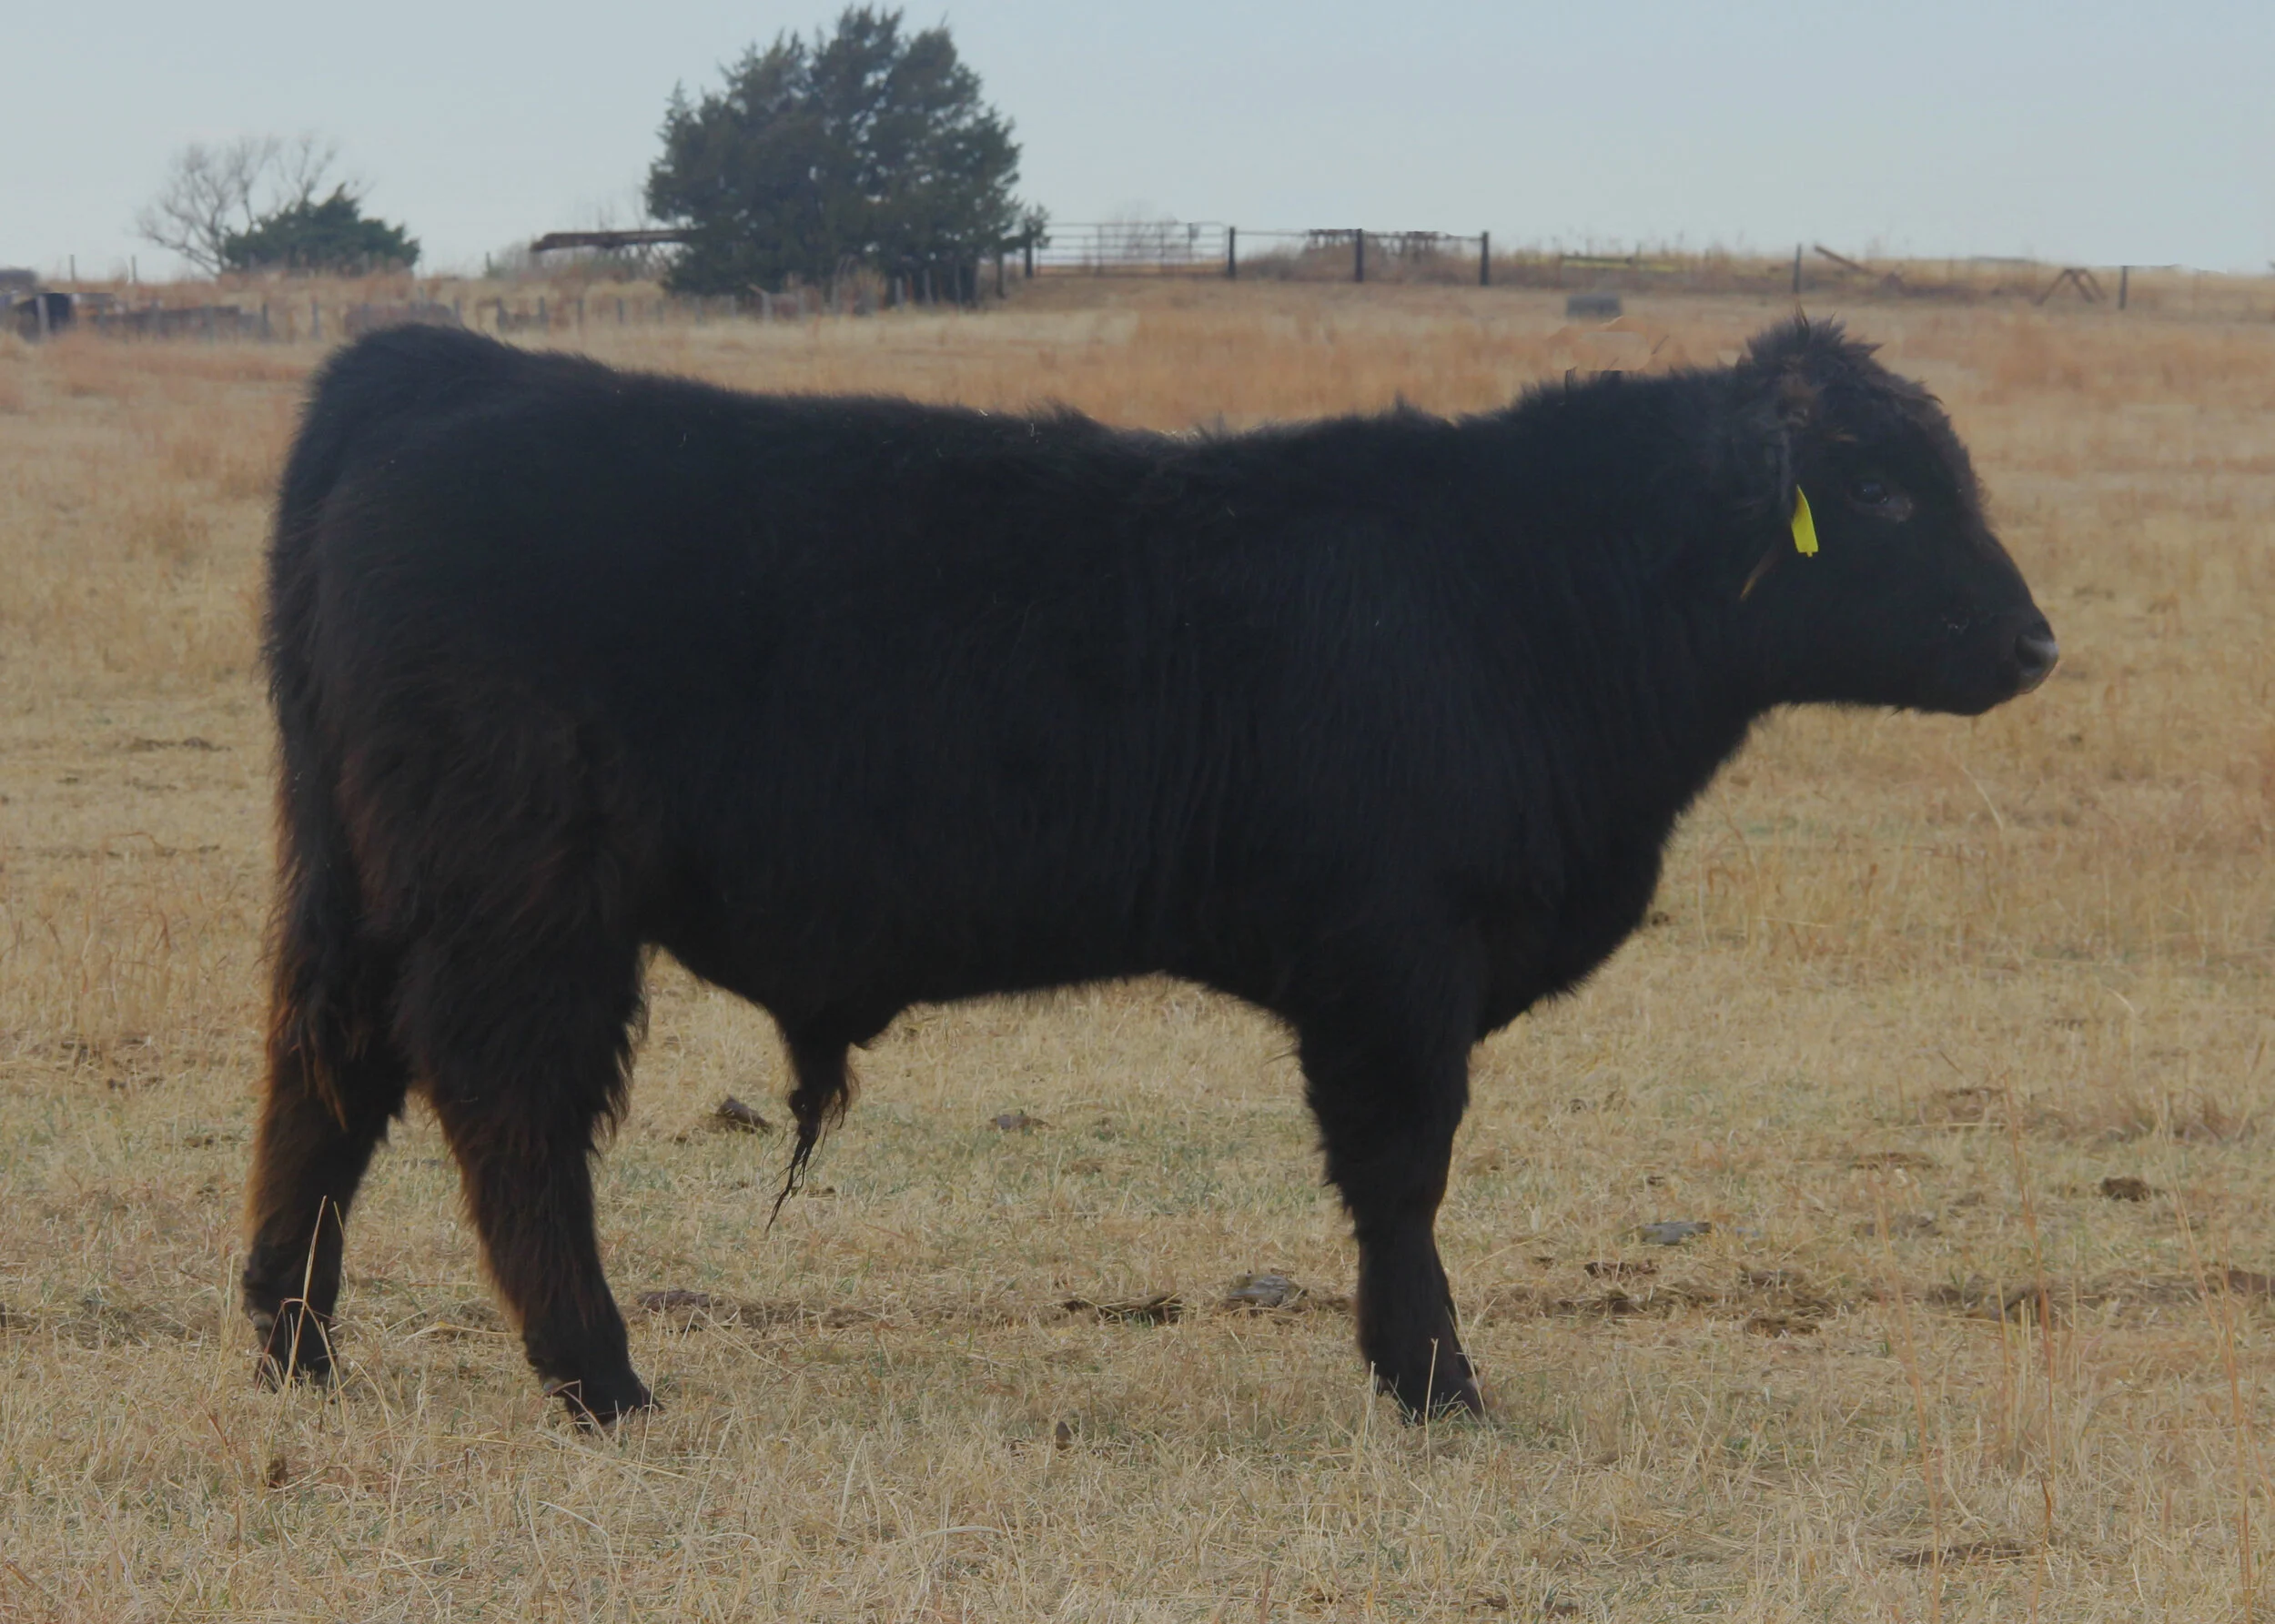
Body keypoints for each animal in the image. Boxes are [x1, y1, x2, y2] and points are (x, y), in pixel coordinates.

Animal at [243, 318, 2055, 1423]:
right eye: (1881, 491)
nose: (2035, 641)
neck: (1519, 589)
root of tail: (439, 366)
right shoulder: (1397, 965)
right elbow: (1403, 1178)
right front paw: (1435, 1384)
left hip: (352, 881)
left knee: (321, 1081)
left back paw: (290, 1346)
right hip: (520, 898)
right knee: (509, 1112)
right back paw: (599, 1380)